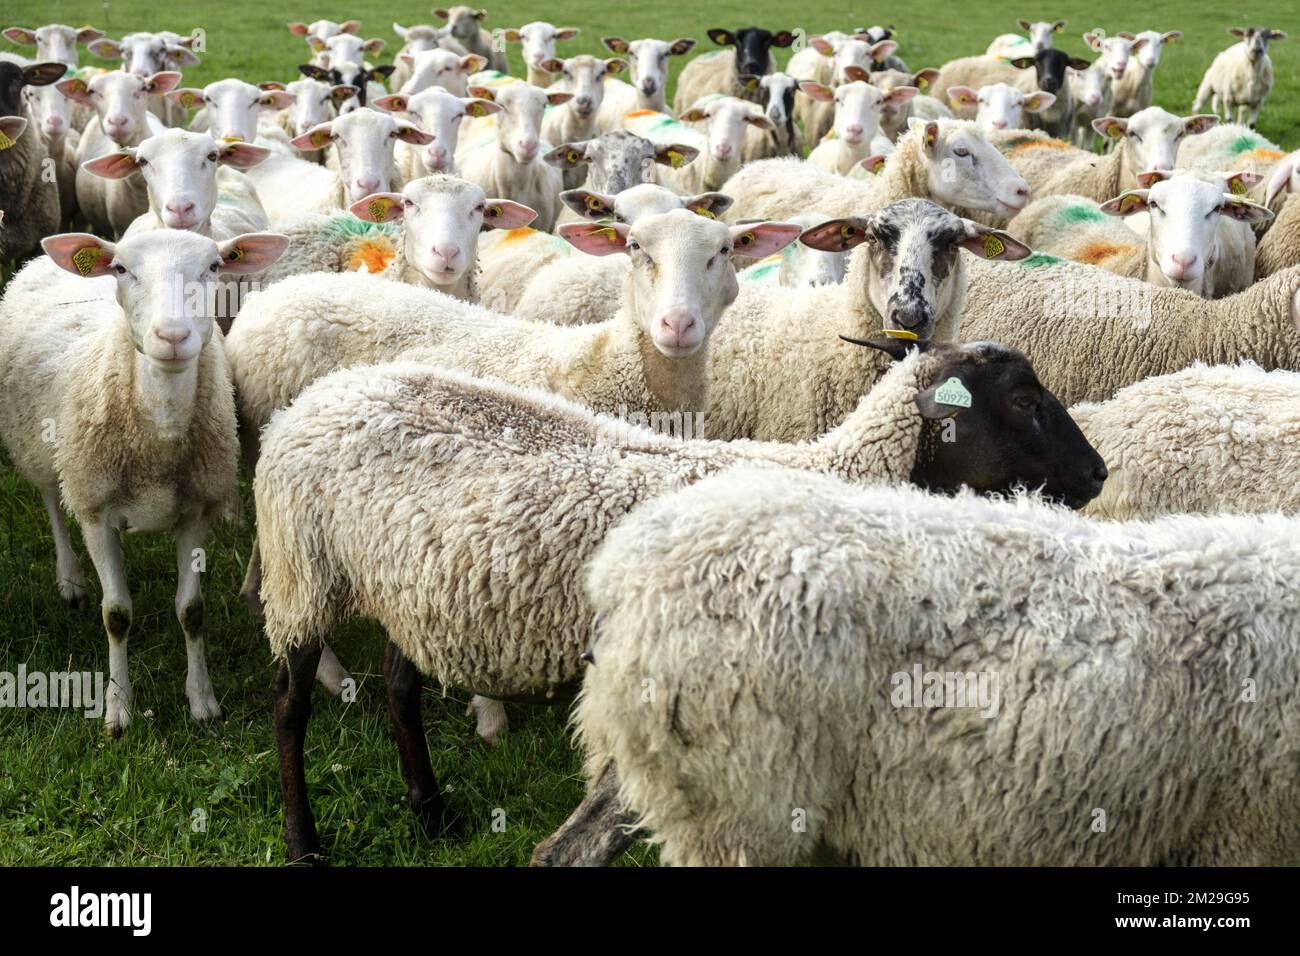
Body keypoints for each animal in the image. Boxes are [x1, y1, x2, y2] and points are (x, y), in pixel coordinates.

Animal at [0, 228, 287, 736]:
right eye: (121, 269)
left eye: (214, 266)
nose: (172, 336)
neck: (159, 437)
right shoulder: (95, 511)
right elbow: (116, 614)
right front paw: (119, 711)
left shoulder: (197, 513)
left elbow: (192, 611)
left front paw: (203, 702)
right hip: (44, 451)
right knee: (53, 501)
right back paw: (70, 579)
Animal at [257, 335, 1104, 861]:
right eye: (1024, 398)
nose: (1097, 474)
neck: (838, 469)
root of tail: (326, 392)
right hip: (303, 574)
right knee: (290, 708)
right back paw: (304, 841)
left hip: (410, 588)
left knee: (400, 688)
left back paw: (430, 812)